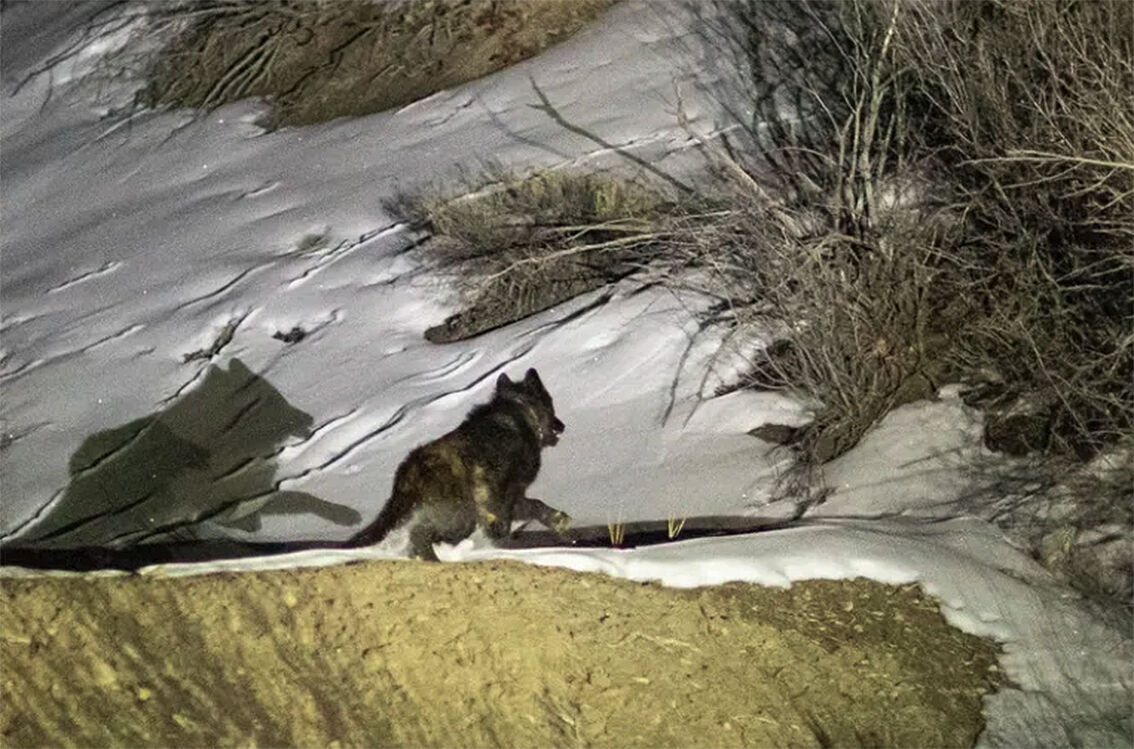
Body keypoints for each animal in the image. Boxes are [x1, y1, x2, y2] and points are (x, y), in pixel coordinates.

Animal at [350, 368, 571, 561]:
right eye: (550, 404)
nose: (562, 426)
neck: (521, 413)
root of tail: (408, 471)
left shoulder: (513, 494)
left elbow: (535, 505)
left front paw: (557, 520)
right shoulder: (490, 483)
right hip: (459, 514)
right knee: (420, 533)